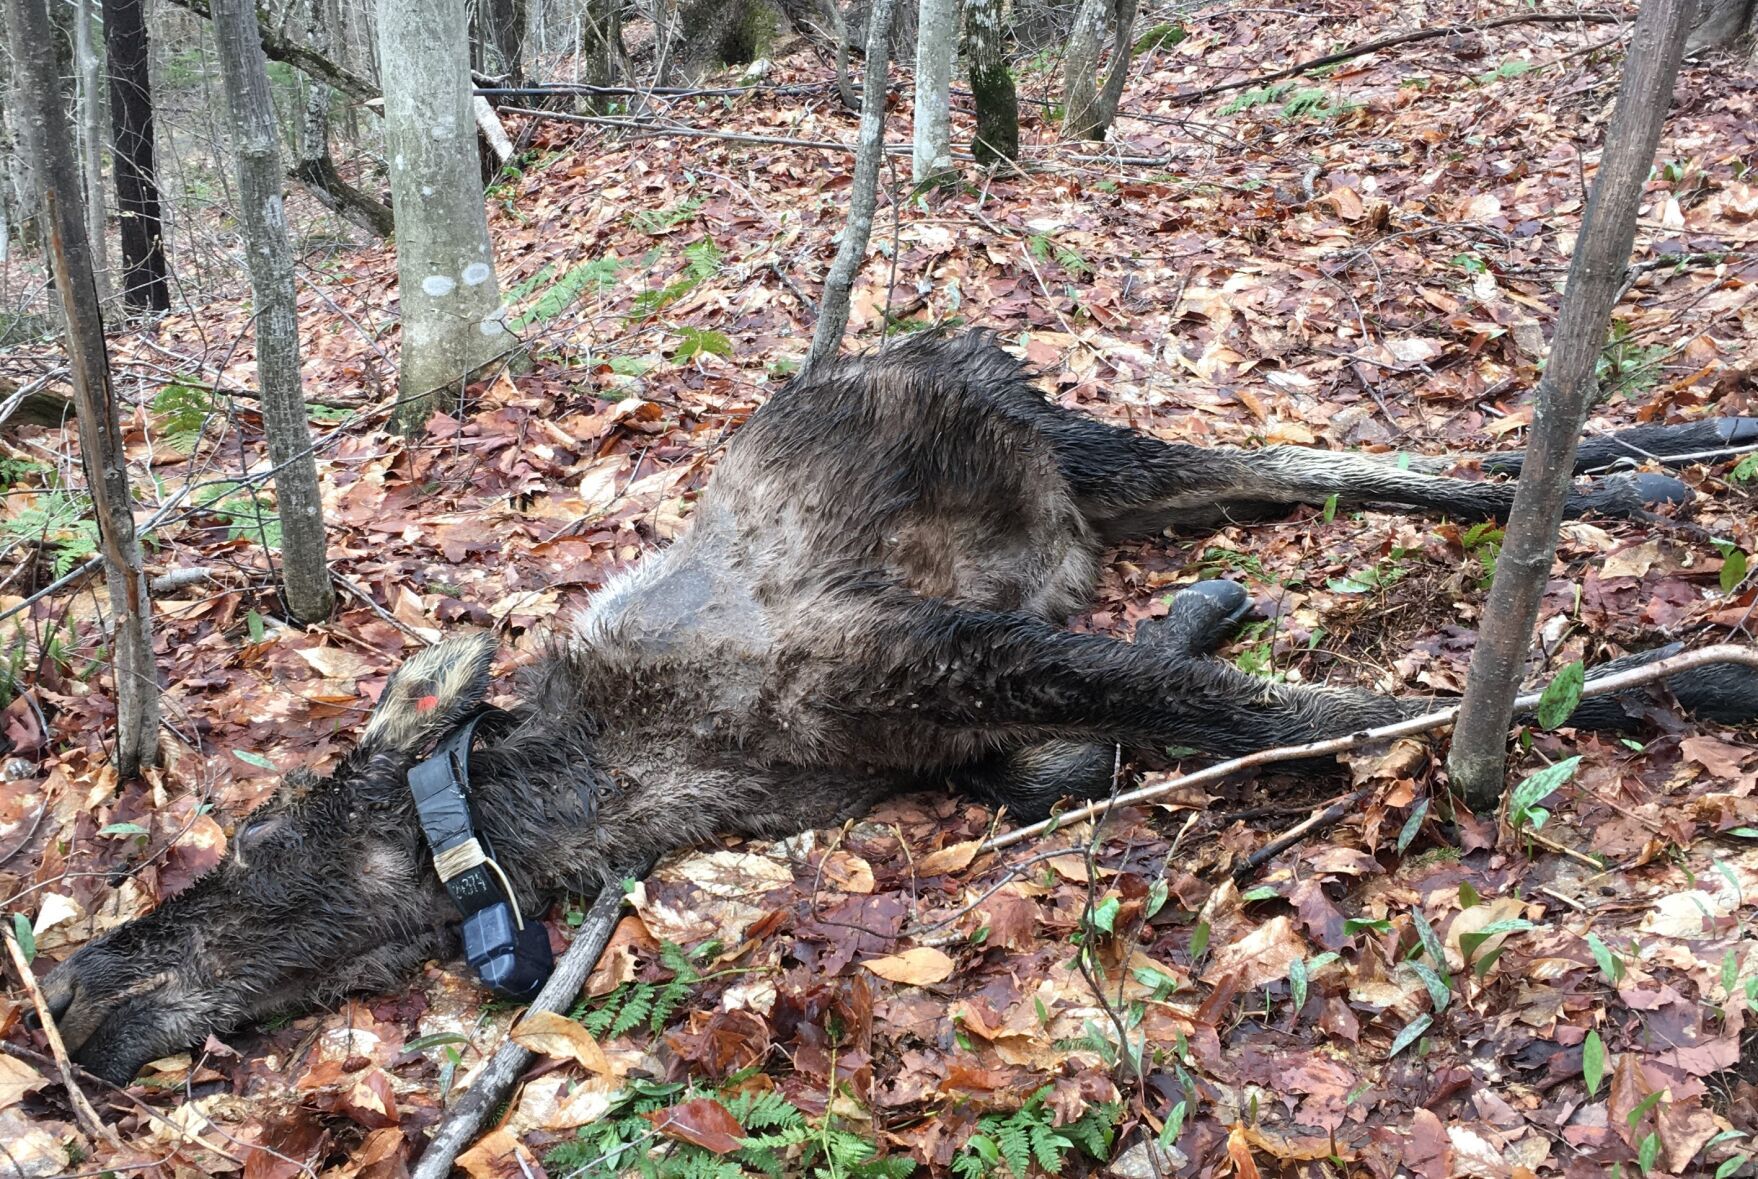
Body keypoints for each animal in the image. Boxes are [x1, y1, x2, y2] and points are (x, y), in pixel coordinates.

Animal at [39, 332, 1758, 1085]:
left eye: (258, 836)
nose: (58, 984)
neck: (593, 785)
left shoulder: (935, 644)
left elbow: (1290, 707)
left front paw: (1699, 678)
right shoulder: (968, 700)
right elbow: (1097, 742)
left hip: (1094, 452)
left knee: (1331, 454)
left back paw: (1640, 478)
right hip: (1107, 489)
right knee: (1340, 464)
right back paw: (1647, 454)